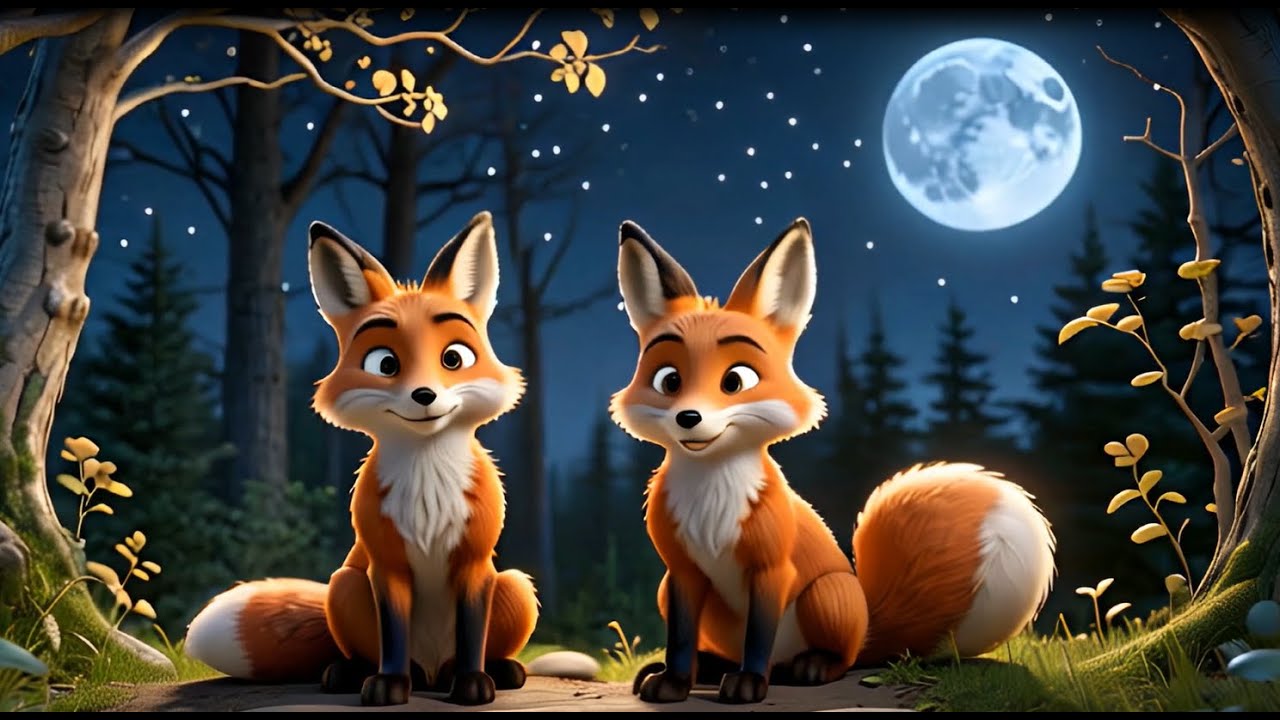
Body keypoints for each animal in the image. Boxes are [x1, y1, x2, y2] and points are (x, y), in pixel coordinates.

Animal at [183, 212, 538, 706]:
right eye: (385, 364)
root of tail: (432, 670)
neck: (427, 485)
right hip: (345, 585)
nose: (424, 395)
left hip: (514, 585)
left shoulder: (473, 562)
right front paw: (388, 685)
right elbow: (393, 635)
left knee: (478, 648)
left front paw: (471, 683)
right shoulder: (385, 566)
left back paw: (494, 671)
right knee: (373, 652)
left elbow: (472, 634)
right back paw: (351, 673)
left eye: (454, 358)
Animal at [610, 217, 1056, 704]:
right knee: (725, 653)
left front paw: (749, 684)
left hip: (826, 594)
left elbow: (758, 637)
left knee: (835, 660)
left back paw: (807, 667)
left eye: (736, 380)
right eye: (669, 380)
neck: (711, 502)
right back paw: (710, 669)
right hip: (674, 594)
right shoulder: (681, 572)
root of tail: (867, 630)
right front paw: (673, 682)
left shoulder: (771, 569)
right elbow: (680, 638)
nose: (688, 418)